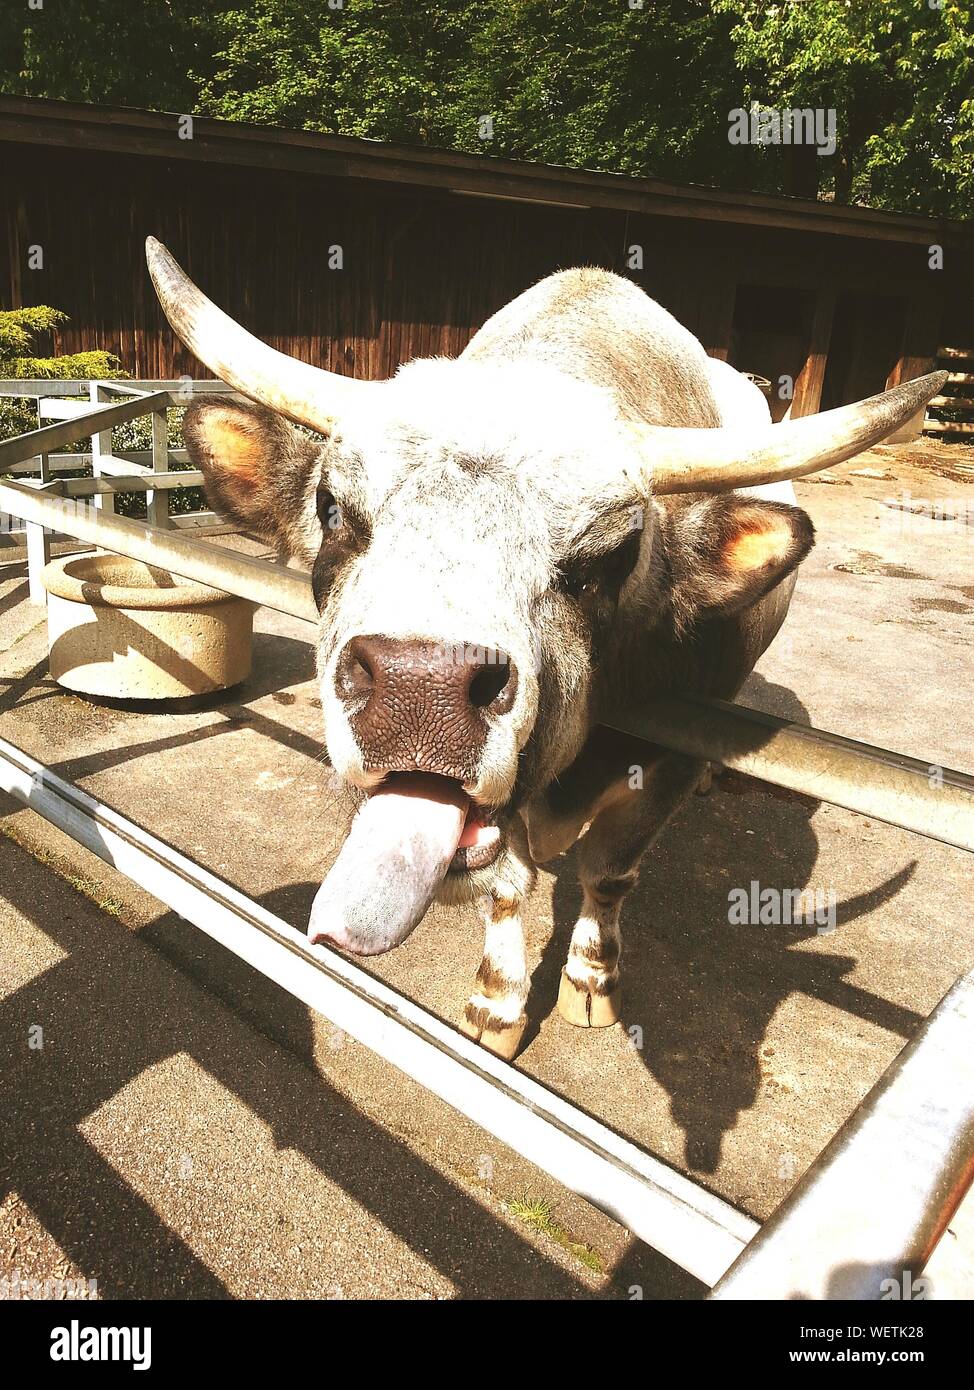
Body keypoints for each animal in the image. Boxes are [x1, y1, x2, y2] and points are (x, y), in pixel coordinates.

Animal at [147, 237, 943, 1060]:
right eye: (332, 508)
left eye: (615, 553)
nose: (417, 689)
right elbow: (507, 886)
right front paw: (497, 1004)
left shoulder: (669, 763)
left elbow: (610, 871)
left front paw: (591, 980)